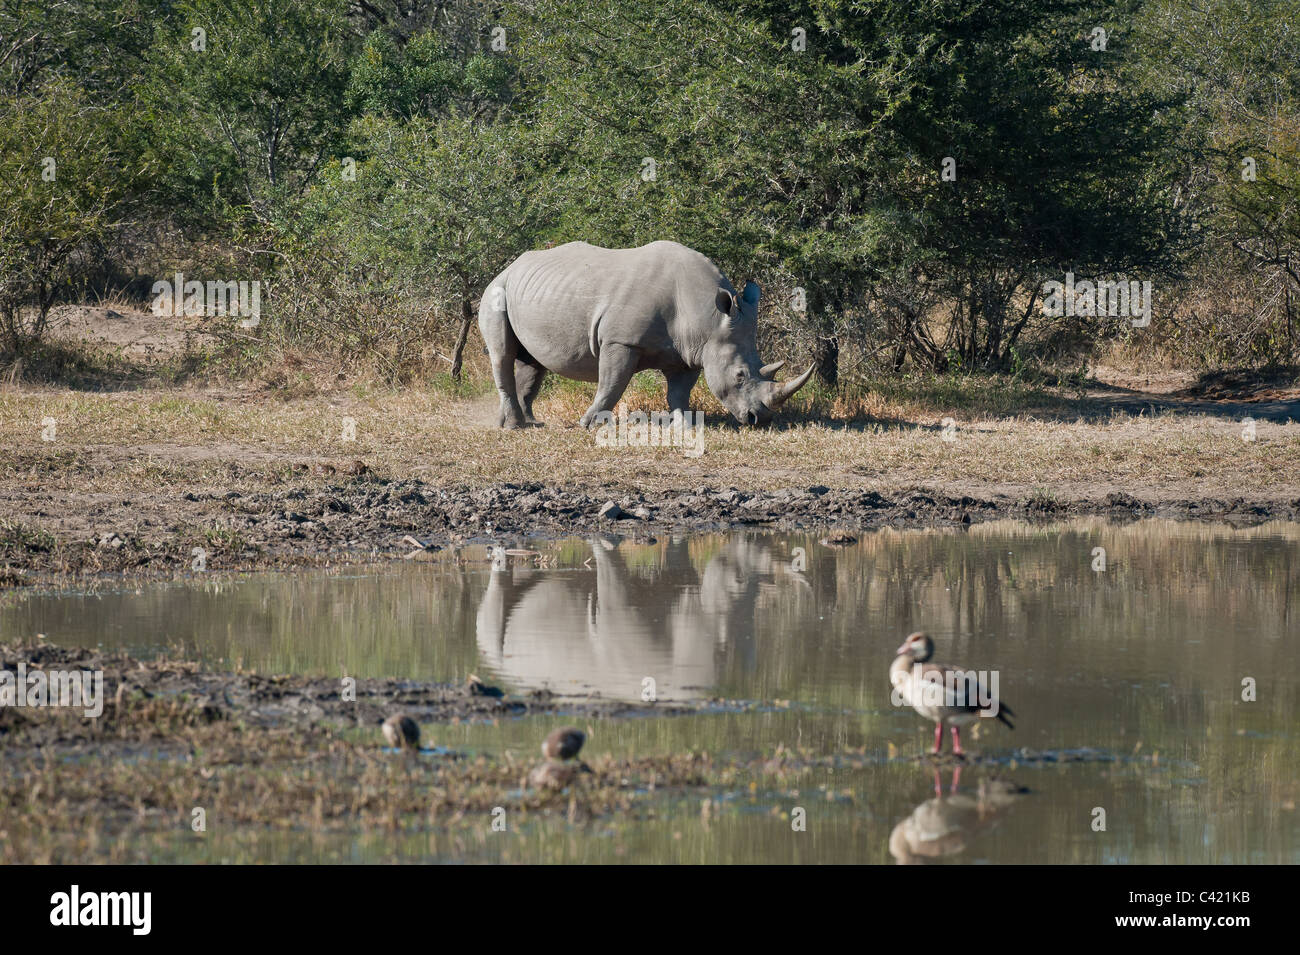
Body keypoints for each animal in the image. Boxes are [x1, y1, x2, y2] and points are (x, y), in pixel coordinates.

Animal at [478, 240, 814, 428]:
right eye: (740, 375)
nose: (761, 419)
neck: (707, 314)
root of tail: (508, 267)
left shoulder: (691, 351)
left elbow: (678, 392)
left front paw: (683, 425)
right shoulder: (621, 340)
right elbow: (611, 385)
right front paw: (590, 424)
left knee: (532, 363)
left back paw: (524, 422)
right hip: (496, 291)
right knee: (503, 354)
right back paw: (516, 427)